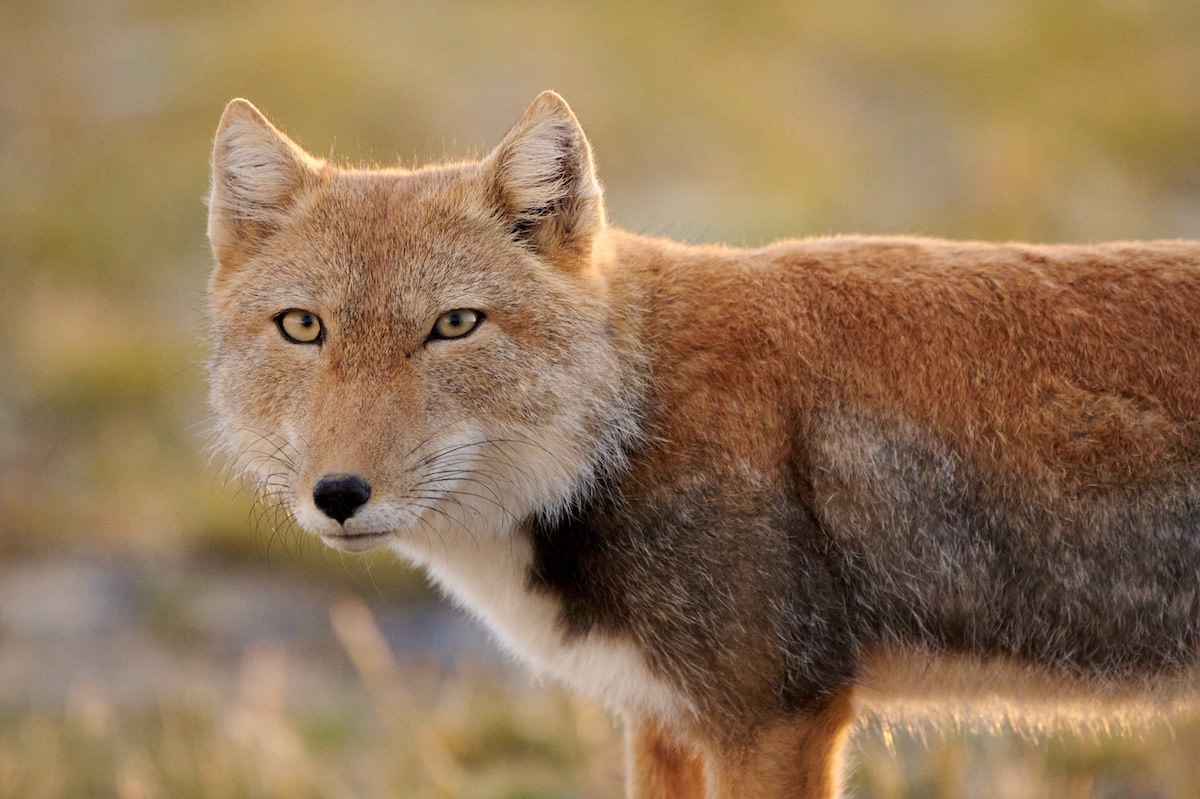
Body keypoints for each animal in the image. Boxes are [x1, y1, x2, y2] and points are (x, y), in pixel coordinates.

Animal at [206, 91, 1200, 798]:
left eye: (454, 325)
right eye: (303, 327)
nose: (339, 493)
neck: (632, 422)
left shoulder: (773, 719)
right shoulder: (661, 719)